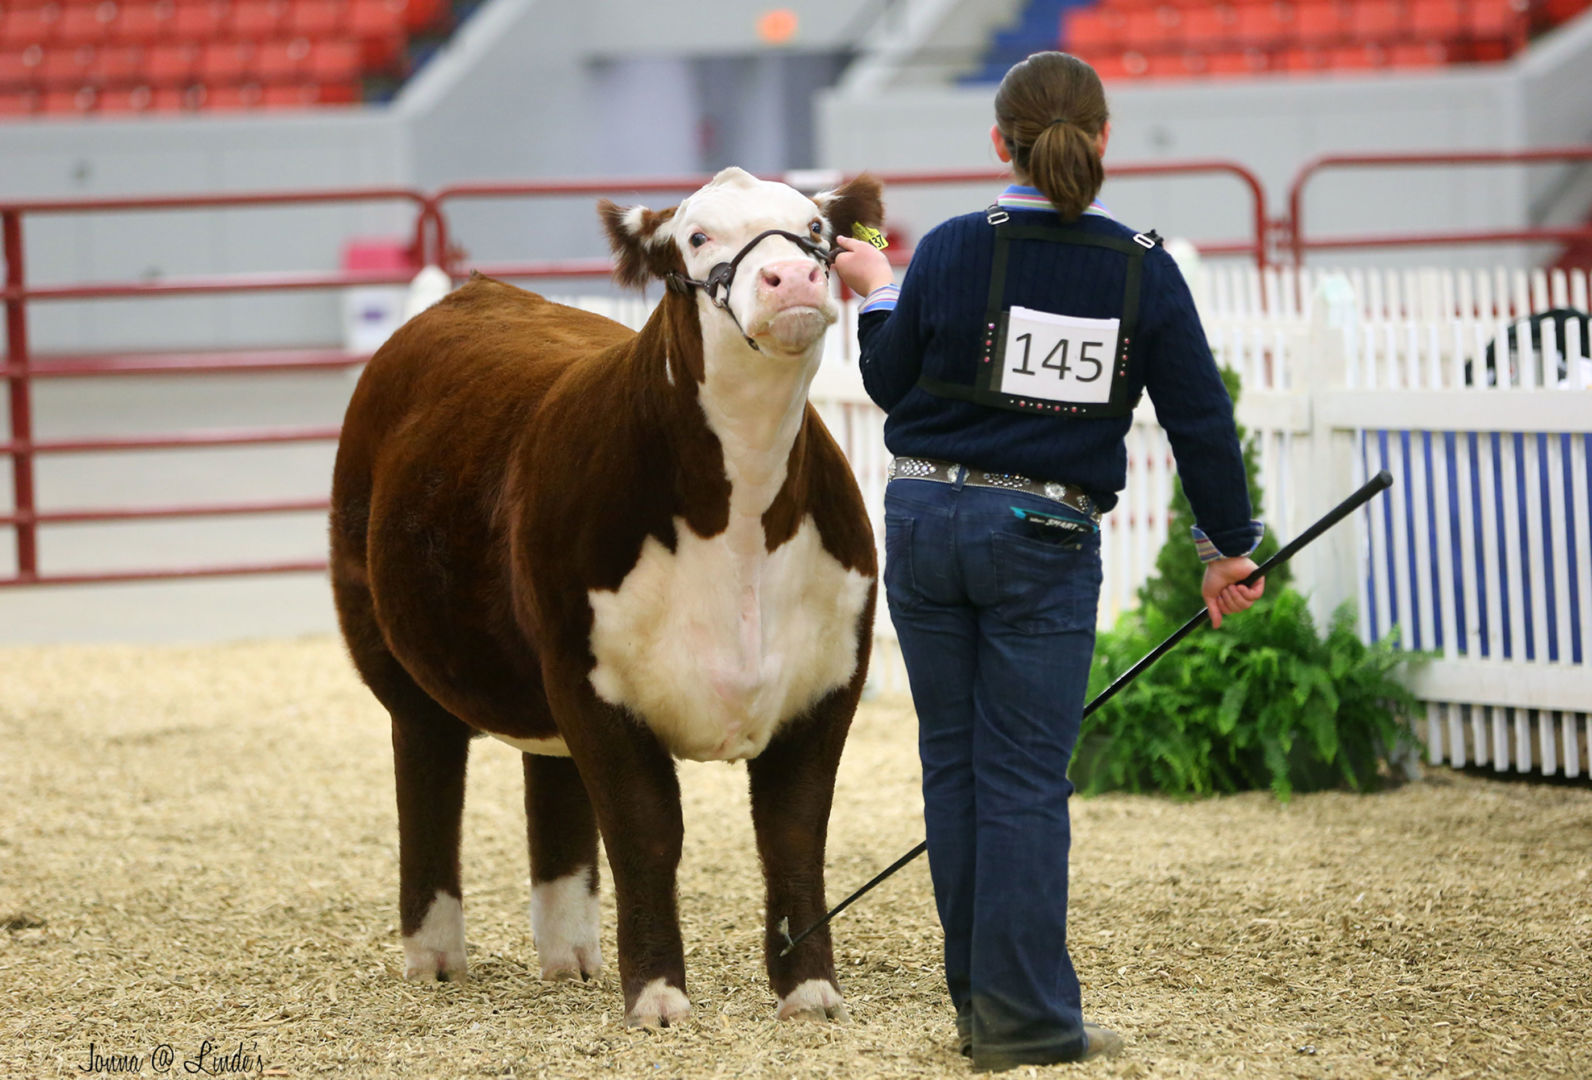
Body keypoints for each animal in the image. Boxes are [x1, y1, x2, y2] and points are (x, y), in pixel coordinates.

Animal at [329, 167, 884, 1027]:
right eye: (695, 236)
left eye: (816, 227)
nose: (792, 277)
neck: (741, 519)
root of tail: (475, 292)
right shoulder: (593, 682)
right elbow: (645, 828)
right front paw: (658, 998)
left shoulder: (831, 675)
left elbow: (793, 831)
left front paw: (812, 994)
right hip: (391, 647)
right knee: (427, 771)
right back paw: (437, 957)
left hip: (536, 679)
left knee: (552, 783)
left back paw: (571, 957)